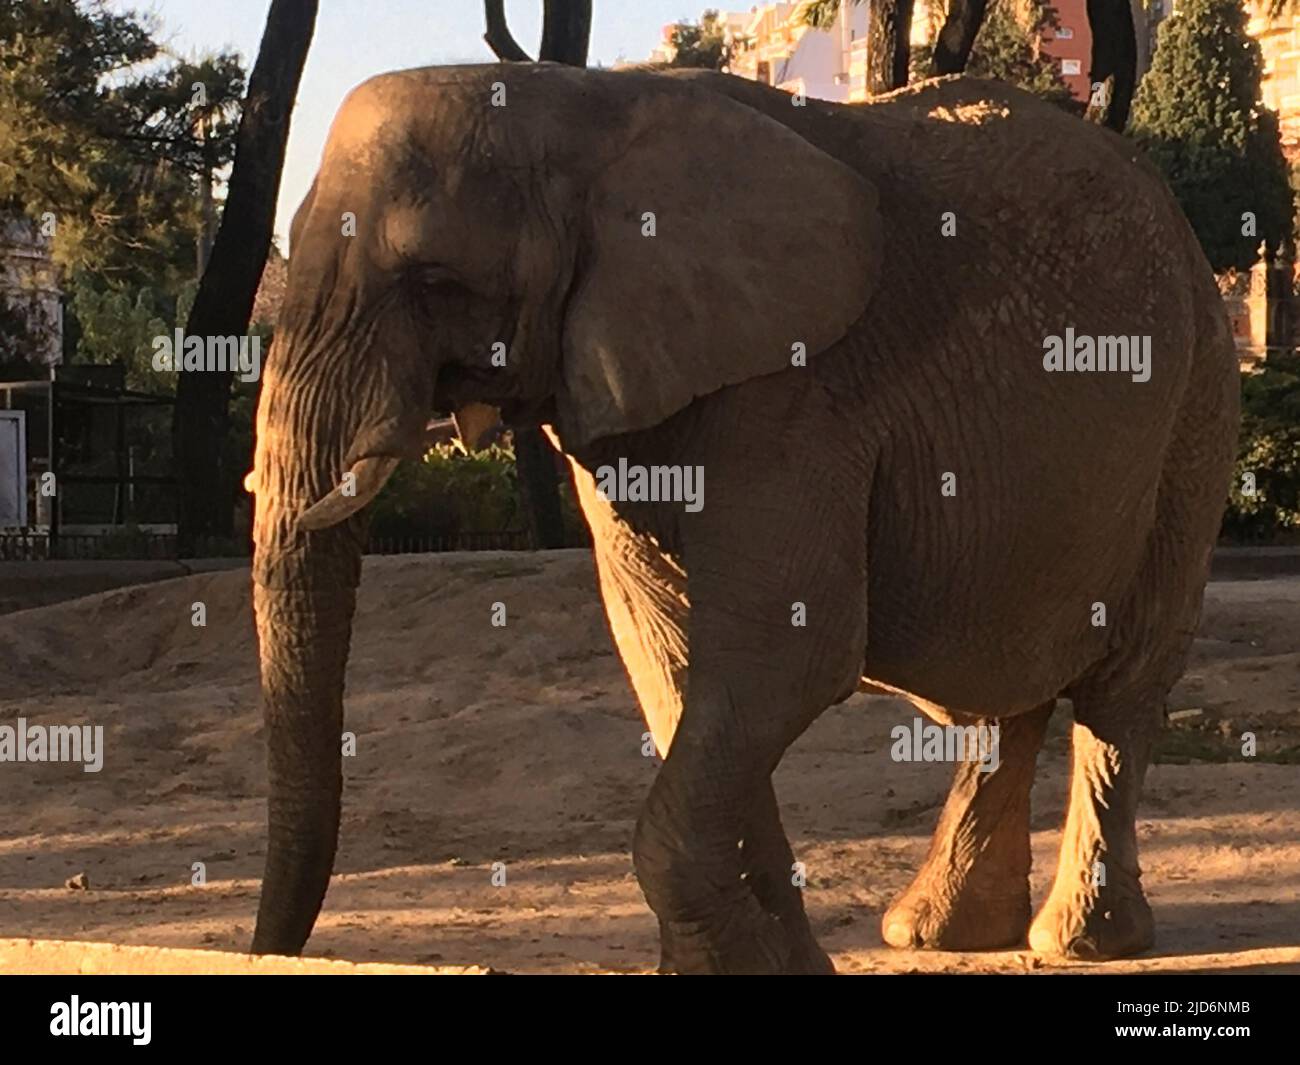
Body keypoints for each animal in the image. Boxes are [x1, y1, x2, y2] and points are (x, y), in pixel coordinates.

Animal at [243, 63, 1238, 974]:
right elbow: (680, 663)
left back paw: (1082, 941)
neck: (576, 102)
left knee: (1124, 682)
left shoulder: (796, 391)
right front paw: (777, 963)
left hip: (1198, 401)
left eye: (435, 277)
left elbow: (784, 653)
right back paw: (936, 933)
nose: (267, 951)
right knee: (1006, 686)